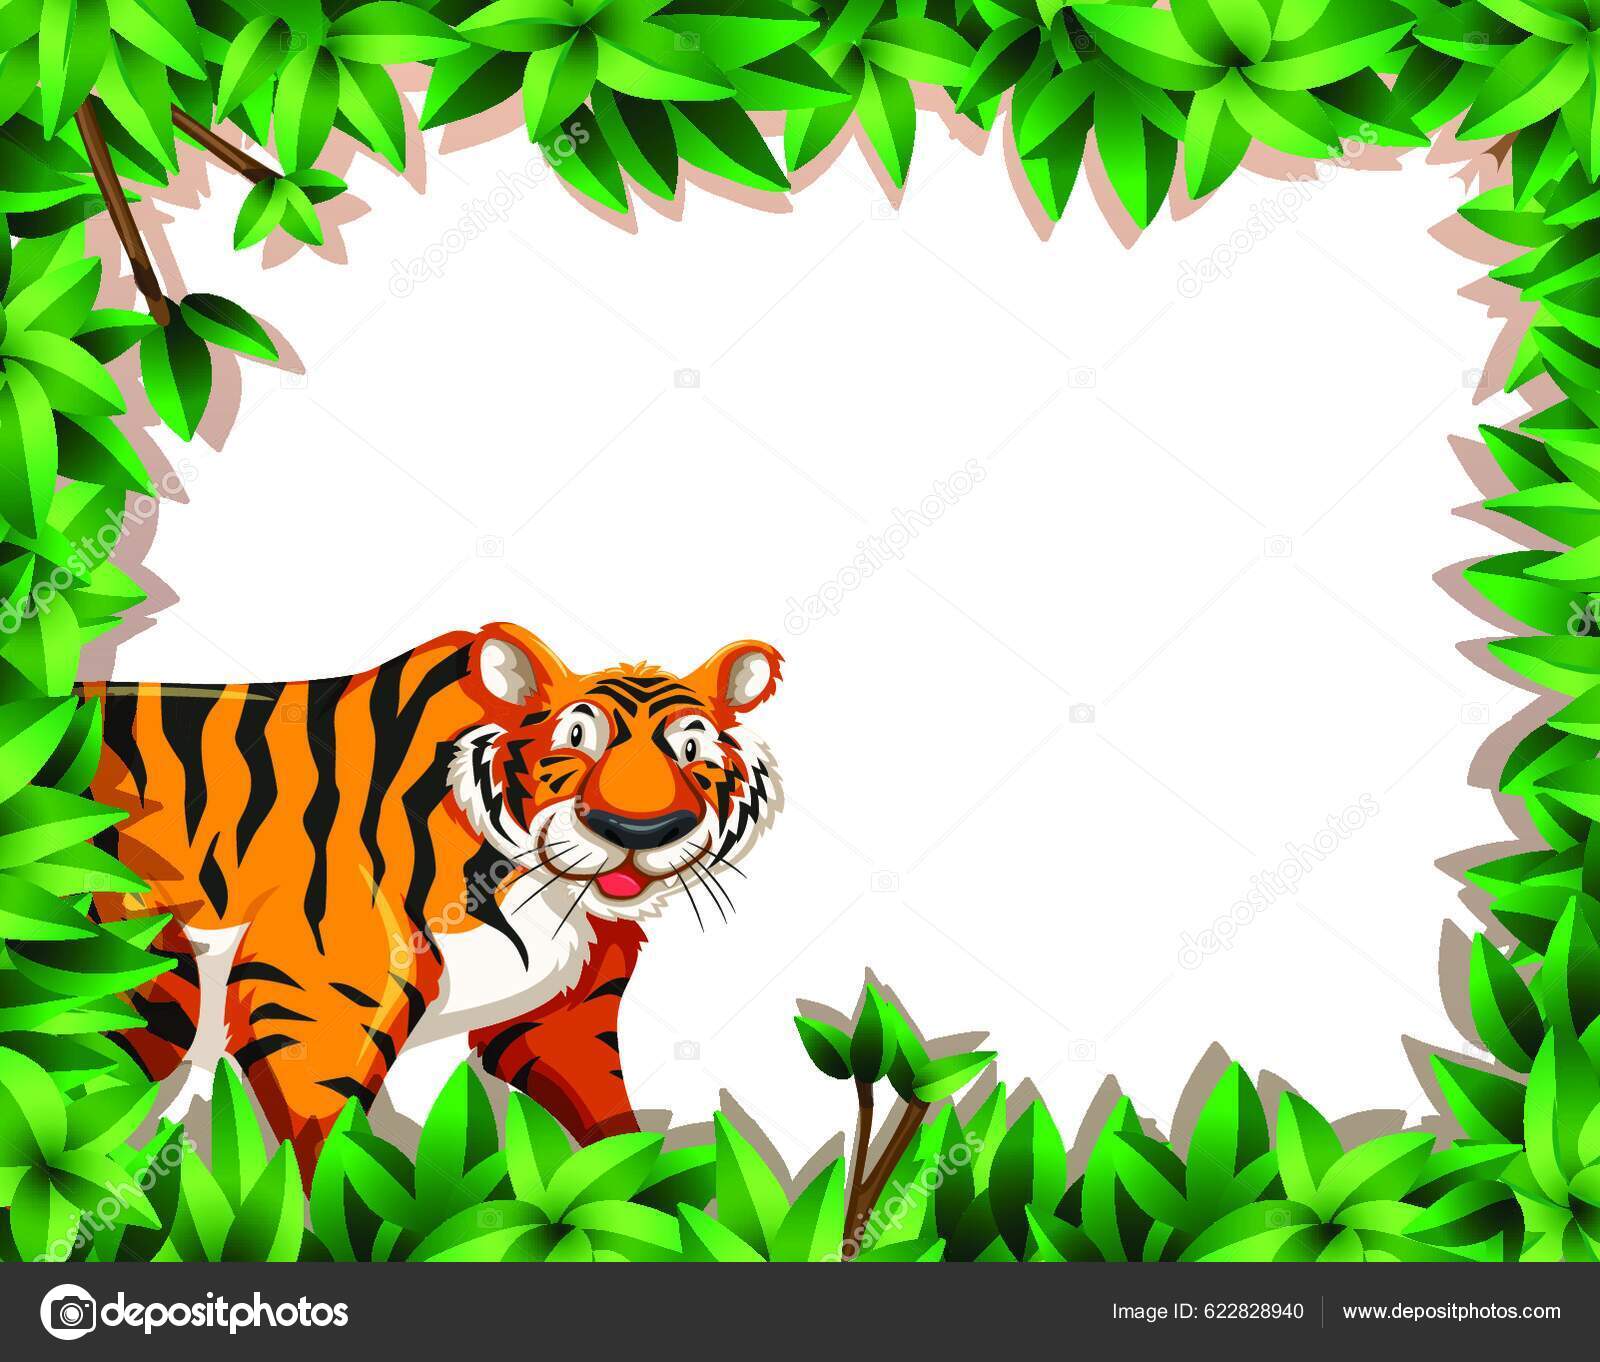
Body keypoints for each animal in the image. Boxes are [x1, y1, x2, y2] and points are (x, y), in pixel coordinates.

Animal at [75, 623, 784, 1181]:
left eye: (691, 749)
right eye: (577, 739)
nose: (639, 831)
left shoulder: (563, 1017)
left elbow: (613, 1125)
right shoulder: (315, 996)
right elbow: (334, 1148)